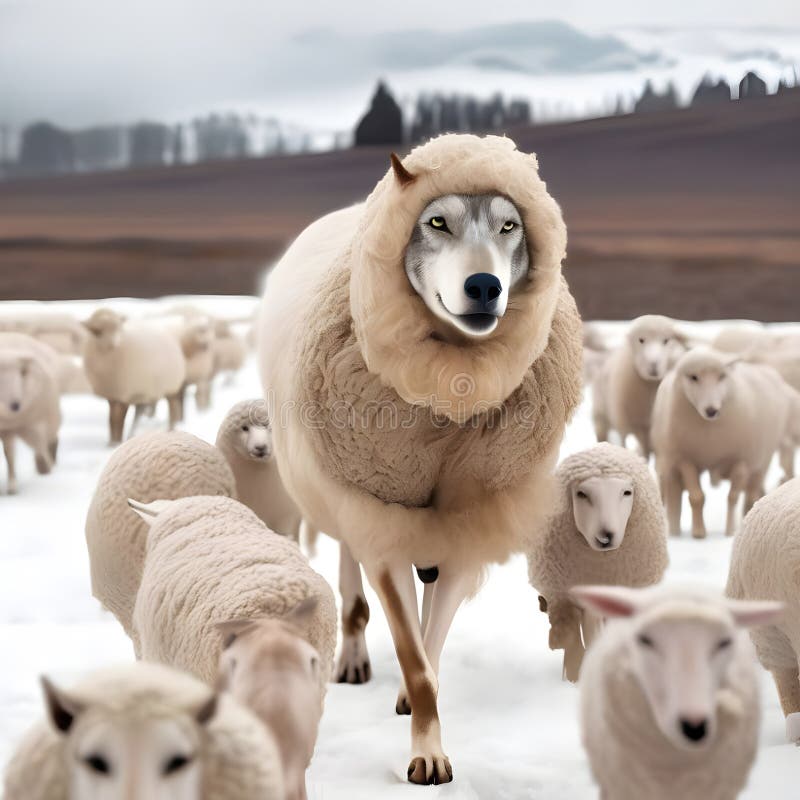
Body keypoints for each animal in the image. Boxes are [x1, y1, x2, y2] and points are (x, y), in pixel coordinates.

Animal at [0, 332, 62, 494]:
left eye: (21, 374)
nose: (15, 405)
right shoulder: (7, 428)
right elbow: (9, 455)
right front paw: (12, 486)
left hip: (46, 417)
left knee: (45, 443)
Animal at [82, 309, 186, 444]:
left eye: (118, 328)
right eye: (96, 331)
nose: (113, 344)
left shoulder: (124, 394)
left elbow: (118, 419)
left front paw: (116, 441)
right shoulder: (112, 394)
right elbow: (111, 419)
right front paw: (112, 441)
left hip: (171, 388)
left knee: (173, 409)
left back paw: (171, 430)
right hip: (145, 390)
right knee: (139, 412)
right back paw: (133, 434)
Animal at [258, 133, 584, 783]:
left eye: (510, 225)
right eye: (436, 221)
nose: (484, 286)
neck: (448, 394)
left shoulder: (469, 519)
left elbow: (430, 646)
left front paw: (421, 719)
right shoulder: (381, 517)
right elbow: (412, 653)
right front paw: (427, 756)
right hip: (347, 496)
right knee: (352, 582)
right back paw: (354, 656)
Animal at [591, 314, 688, 459]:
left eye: (666, 340)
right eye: (641, 340)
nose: (653, 365)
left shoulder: (648, 430)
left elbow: (647, 453)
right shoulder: (626, 423)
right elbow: (625, 445)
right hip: (602, 416)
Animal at [652, 346, 799, 538]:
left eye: (722, 376)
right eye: (693, 377)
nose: (711, 410)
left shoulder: (742, 461)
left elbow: (733, 497)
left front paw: (730, 531)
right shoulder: (685, 460)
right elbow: (696, 496)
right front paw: (699, 533)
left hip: (762, 461)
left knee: (752, 493)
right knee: (674, 495)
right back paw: (674, 531)